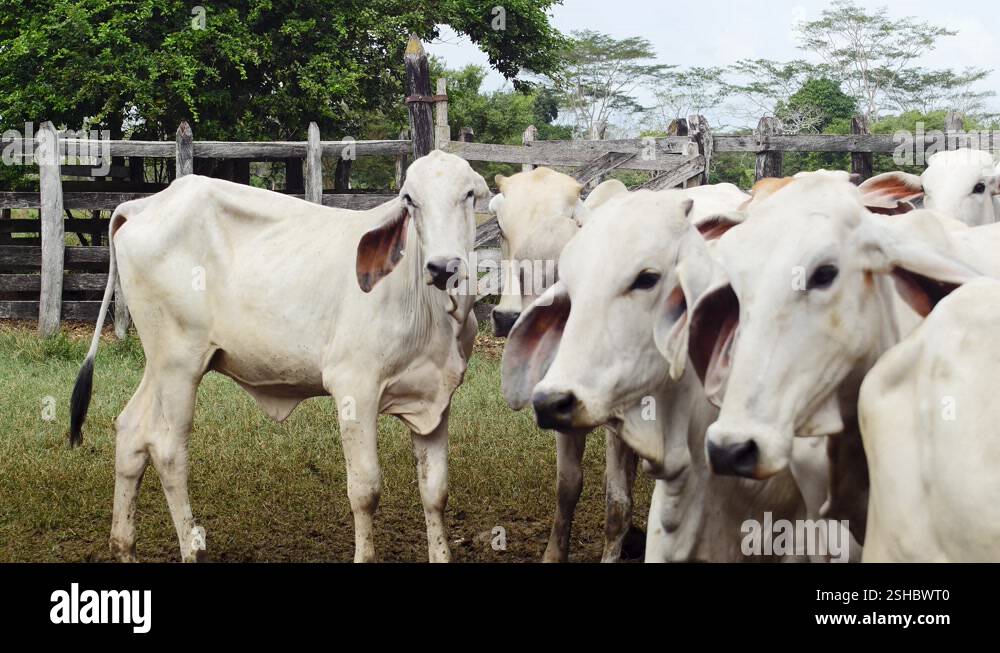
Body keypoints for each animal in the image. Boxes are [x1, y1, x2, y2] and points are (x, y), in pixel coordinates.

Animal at [69, 150, 488, 563]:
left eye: (469, 194)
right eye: (410, 199)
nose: (443, 267)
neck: (431, 310)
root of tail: (140, 206)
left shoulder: (436, 400)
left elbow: (435, 491)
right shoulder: (355, 387)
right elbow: (365, 490)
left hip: (159, 361)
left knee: (130, 431)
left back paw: (124, 546)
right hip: (179, 363)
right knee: (168, 449)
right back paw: (191, 548)